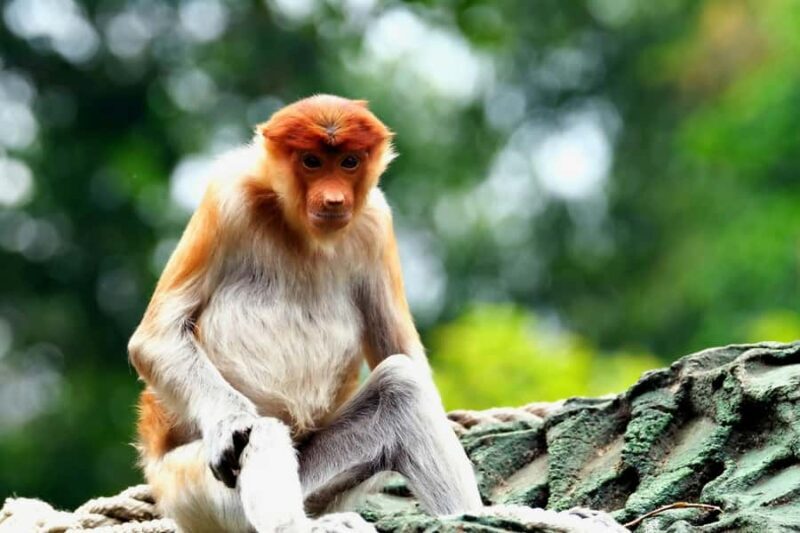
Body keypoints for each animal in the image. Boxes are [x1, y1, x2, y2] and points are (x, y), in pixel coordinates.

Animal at [128, 95, 483, 532]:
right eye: (312, 162)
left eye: (349, 162)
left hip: (316, 483)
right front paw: (230, 423)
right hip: (197, 494)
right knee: (260, 432)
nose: (333, 200)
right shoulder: (226, 198)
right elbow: (156, 338)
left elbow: (401, 357)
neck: (301, 231)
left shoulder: (376, 223)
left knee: (401, 388)